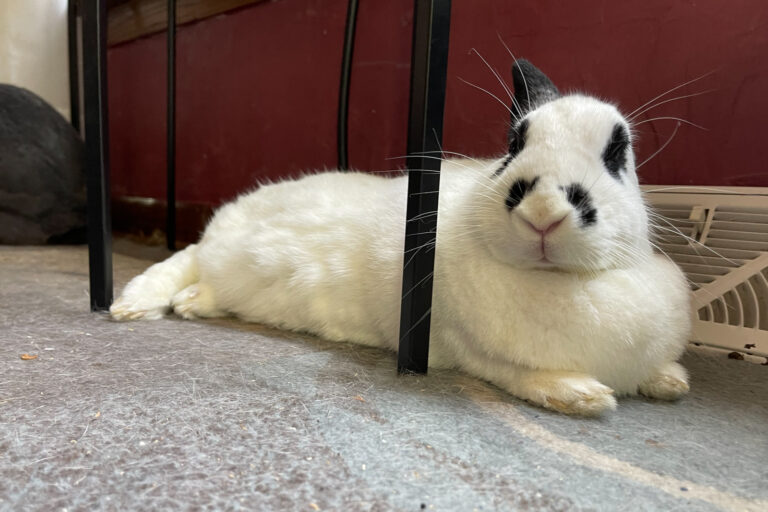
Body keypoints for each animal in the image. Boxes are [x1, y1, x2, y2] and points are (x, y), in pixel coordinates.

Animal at [111, 60, 692, 416]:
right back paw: (138, 306)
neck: (559, 281)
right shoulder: (469, 350)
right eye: (514, 144)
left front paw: (671, 381)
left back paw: (188, 304)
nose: (543, 212)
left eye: (617, 153)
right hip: (223, 255)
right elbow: (520, 375)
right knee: (189, 258)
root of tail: (223, 223)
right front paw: (584, 396)